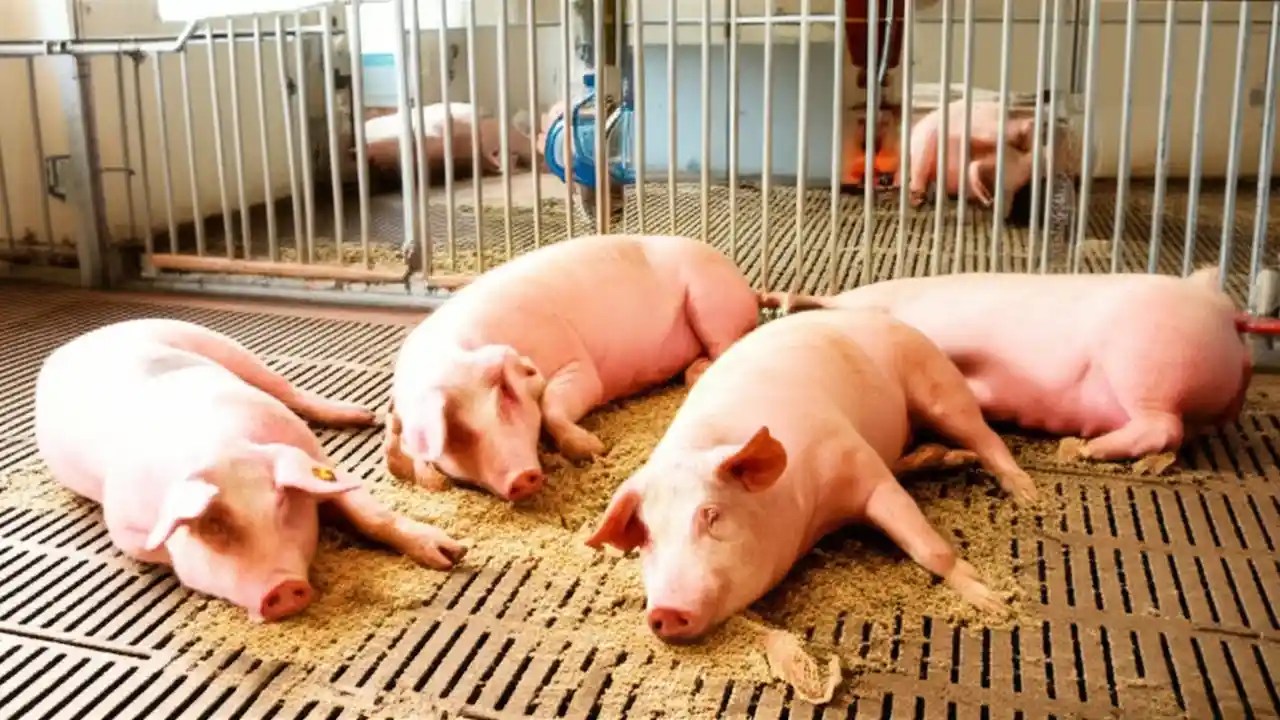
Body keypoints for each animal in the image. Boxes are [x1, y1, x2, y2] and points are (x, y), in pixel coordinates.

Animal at [34, 319, 465, 623]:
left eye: (283, 504)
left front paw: (450, 554)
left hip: (223, 346)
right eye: (213, 526)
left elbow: (369, 512)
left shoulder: (317, 459)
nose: (285, 588)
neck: (221, 448)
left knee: (287, 389)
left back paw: (361, 415)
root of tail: (80, 339)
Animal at [385, 234, 761, 502]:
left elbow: (553, 402)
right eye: (455, 431)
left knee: (728, 345)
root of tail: (743, 283)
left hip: (711, 301)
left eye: (504, 394)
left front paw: (594, 447)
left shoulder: (578, 364)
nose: (522, 478)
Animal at [584, 308, 1037, 642]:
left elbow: (926, 546)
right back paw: (944, 457)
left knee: (986, 436)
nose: (664, 613)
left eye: (712, 515)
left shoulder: (858, 461)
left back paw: (1027, 494)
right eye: (646, 535)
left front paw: (994, 602)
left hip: (939, 386)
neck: (814, 521)